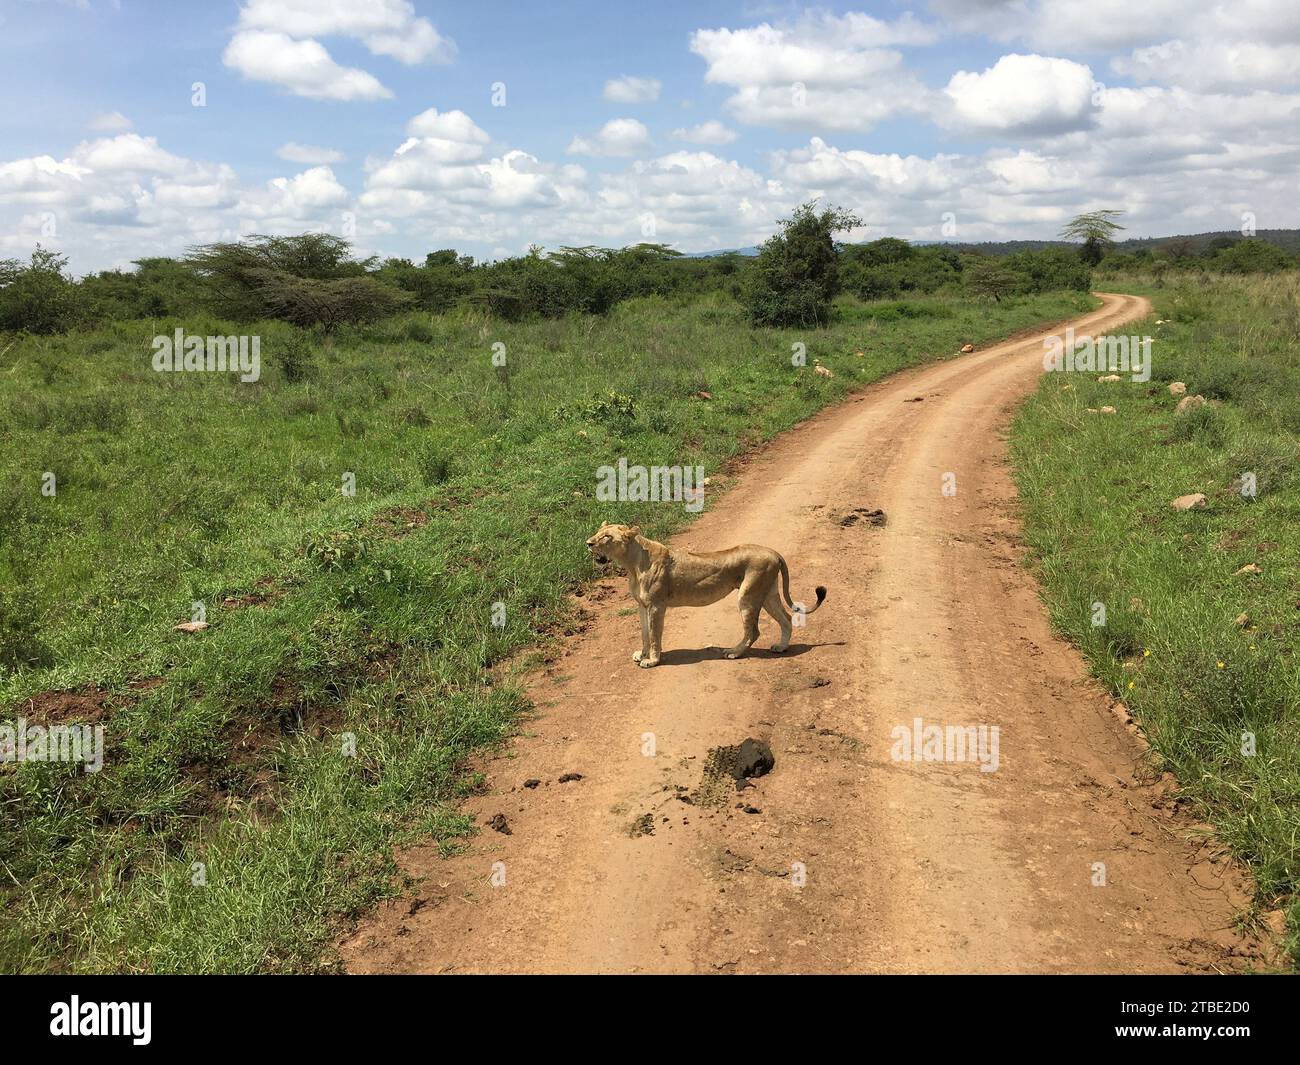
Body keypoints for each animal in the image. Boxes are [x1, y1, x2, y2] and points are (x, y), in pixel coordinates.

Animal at [585, 522, 826, 668]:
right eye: (597, 532)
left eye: (606, 537)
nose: (588, 543)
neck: (632, 564)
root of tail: (773, 552)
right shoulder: (642, 605)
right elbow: (644, 633)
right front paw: (642, 655)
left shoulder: (656, 605)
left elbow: (654, 635)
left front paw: (652, 660)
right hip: (767, 593)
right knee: (785, 619)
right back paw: (781, 647)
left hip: (749, 595)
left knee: (753, 631)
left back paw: (733, 652)